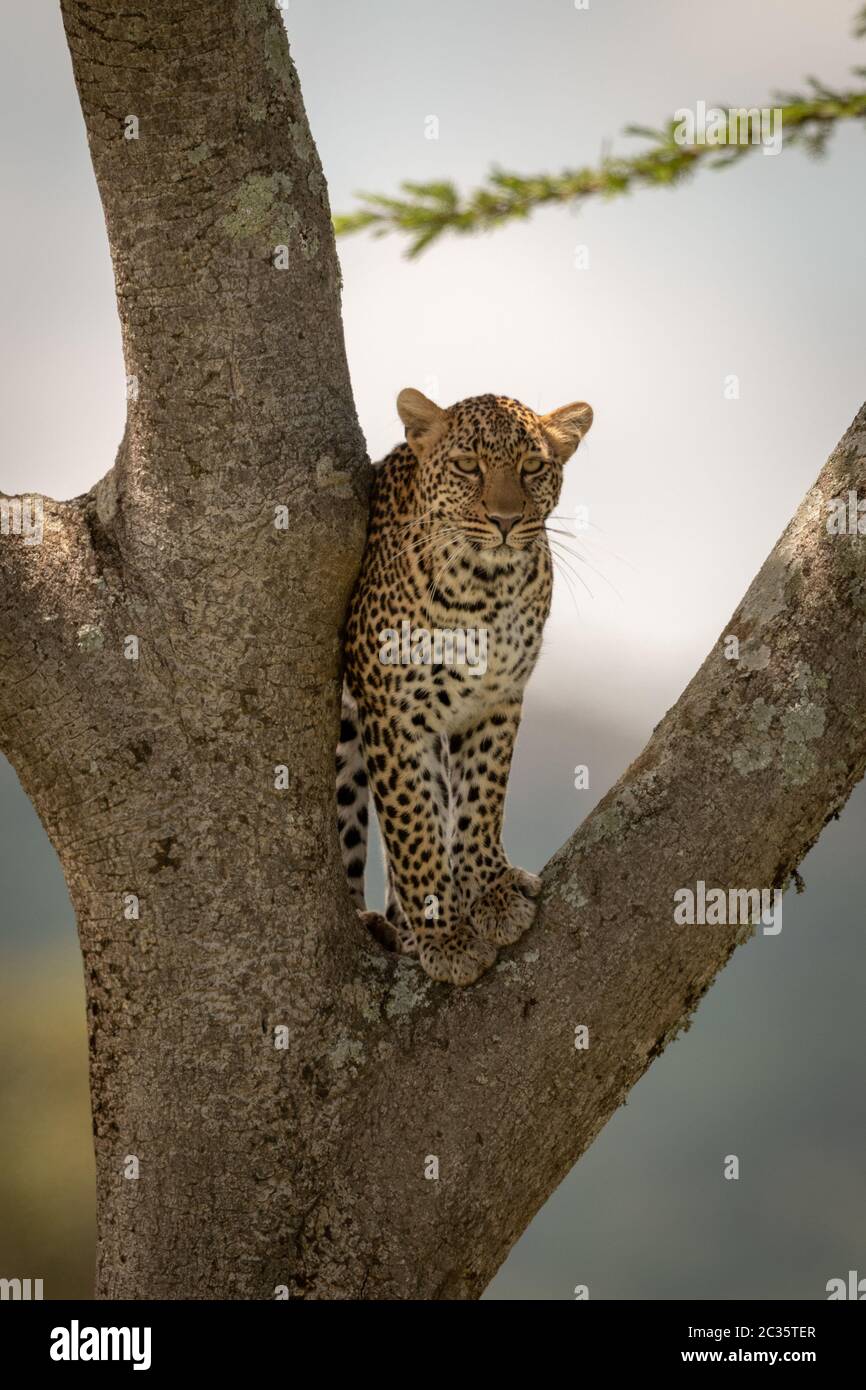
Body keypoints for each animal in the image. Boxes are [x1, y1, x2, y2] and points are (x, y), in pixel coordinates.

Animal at [336, 388, 593, 985]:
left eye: (532, 468)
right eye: (467, 465)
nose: (505, 520)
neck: (486, 589)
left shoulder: (495, 700)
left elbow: (479, 799)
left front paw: (492, 893)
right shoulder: (392, 716)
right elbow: (413, 831)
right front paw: (446, 938)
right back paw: (380, 925)